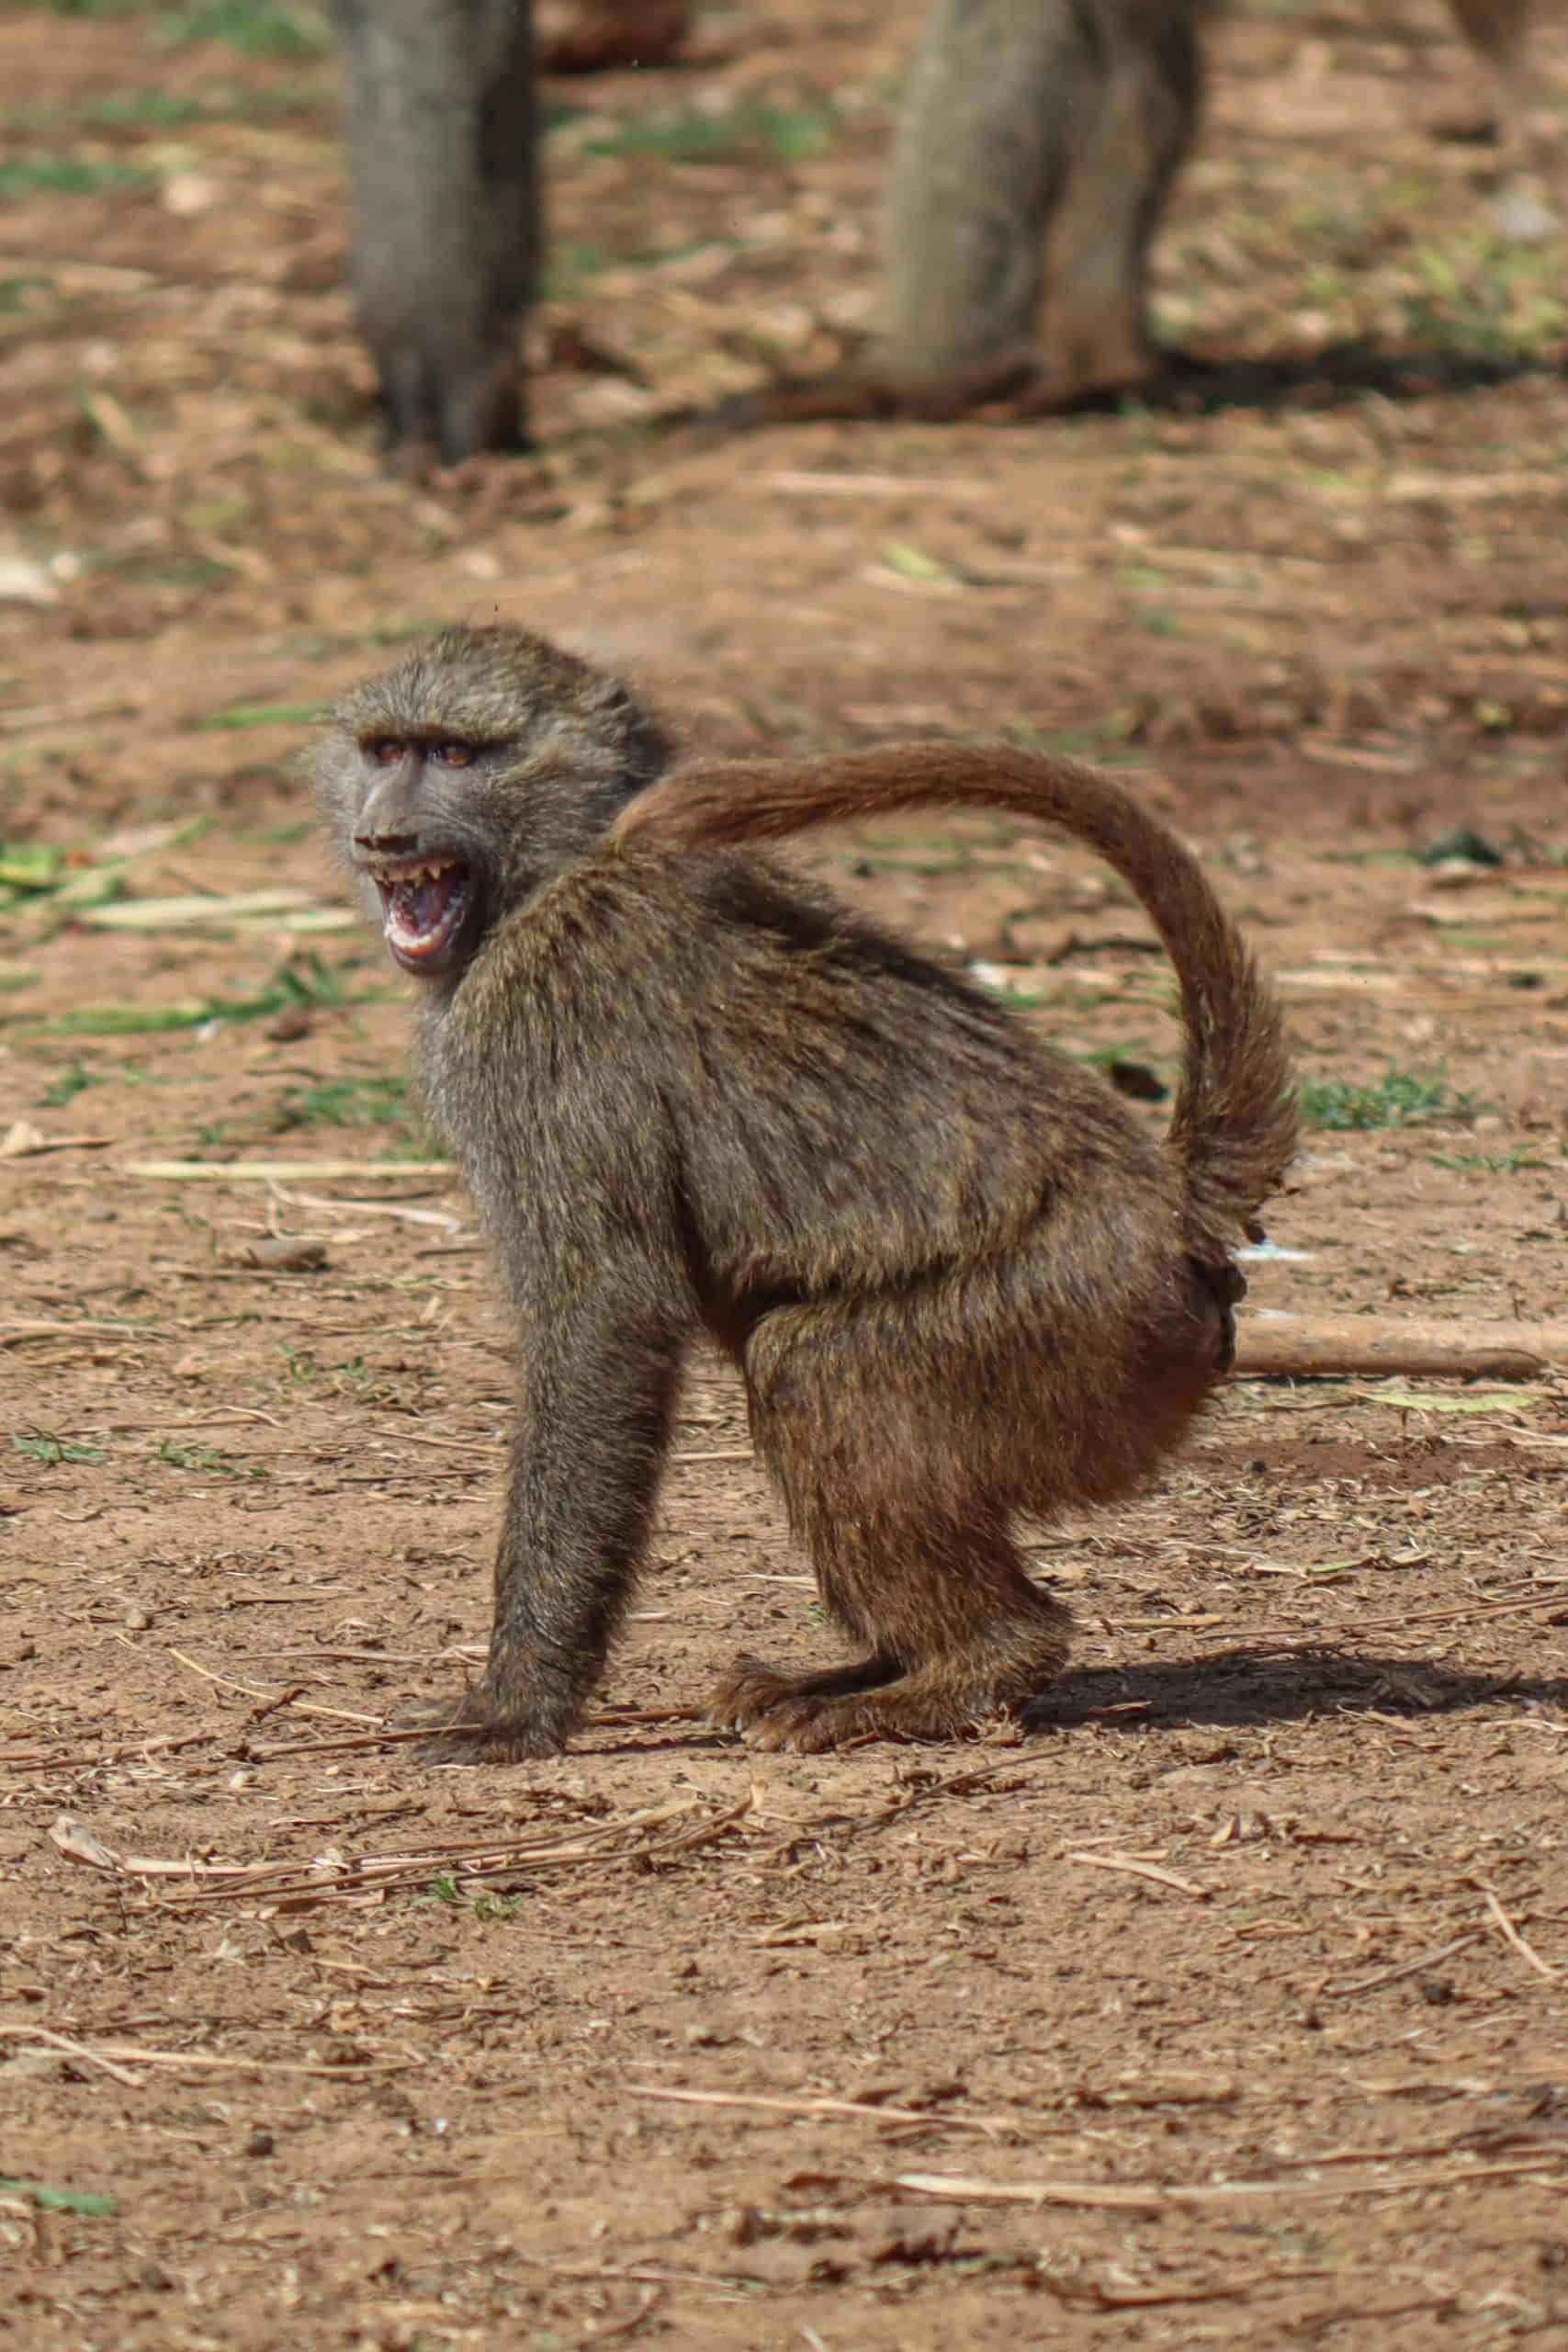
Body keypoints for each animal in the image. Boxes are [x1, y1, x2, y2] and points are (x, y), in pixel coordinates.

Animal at [313, 622, 1296, 1760]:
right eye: (386, 749)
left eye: (459, 754)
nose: (384, 837)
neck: (556, 869)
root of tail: (1175, 1209)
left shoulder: (535, 1023)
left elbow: (604, 1324)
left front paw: (514, 1707)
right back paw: (864, 1671)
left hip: (1084, 1325)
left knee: (812, 1370)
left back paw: (959, 1673)